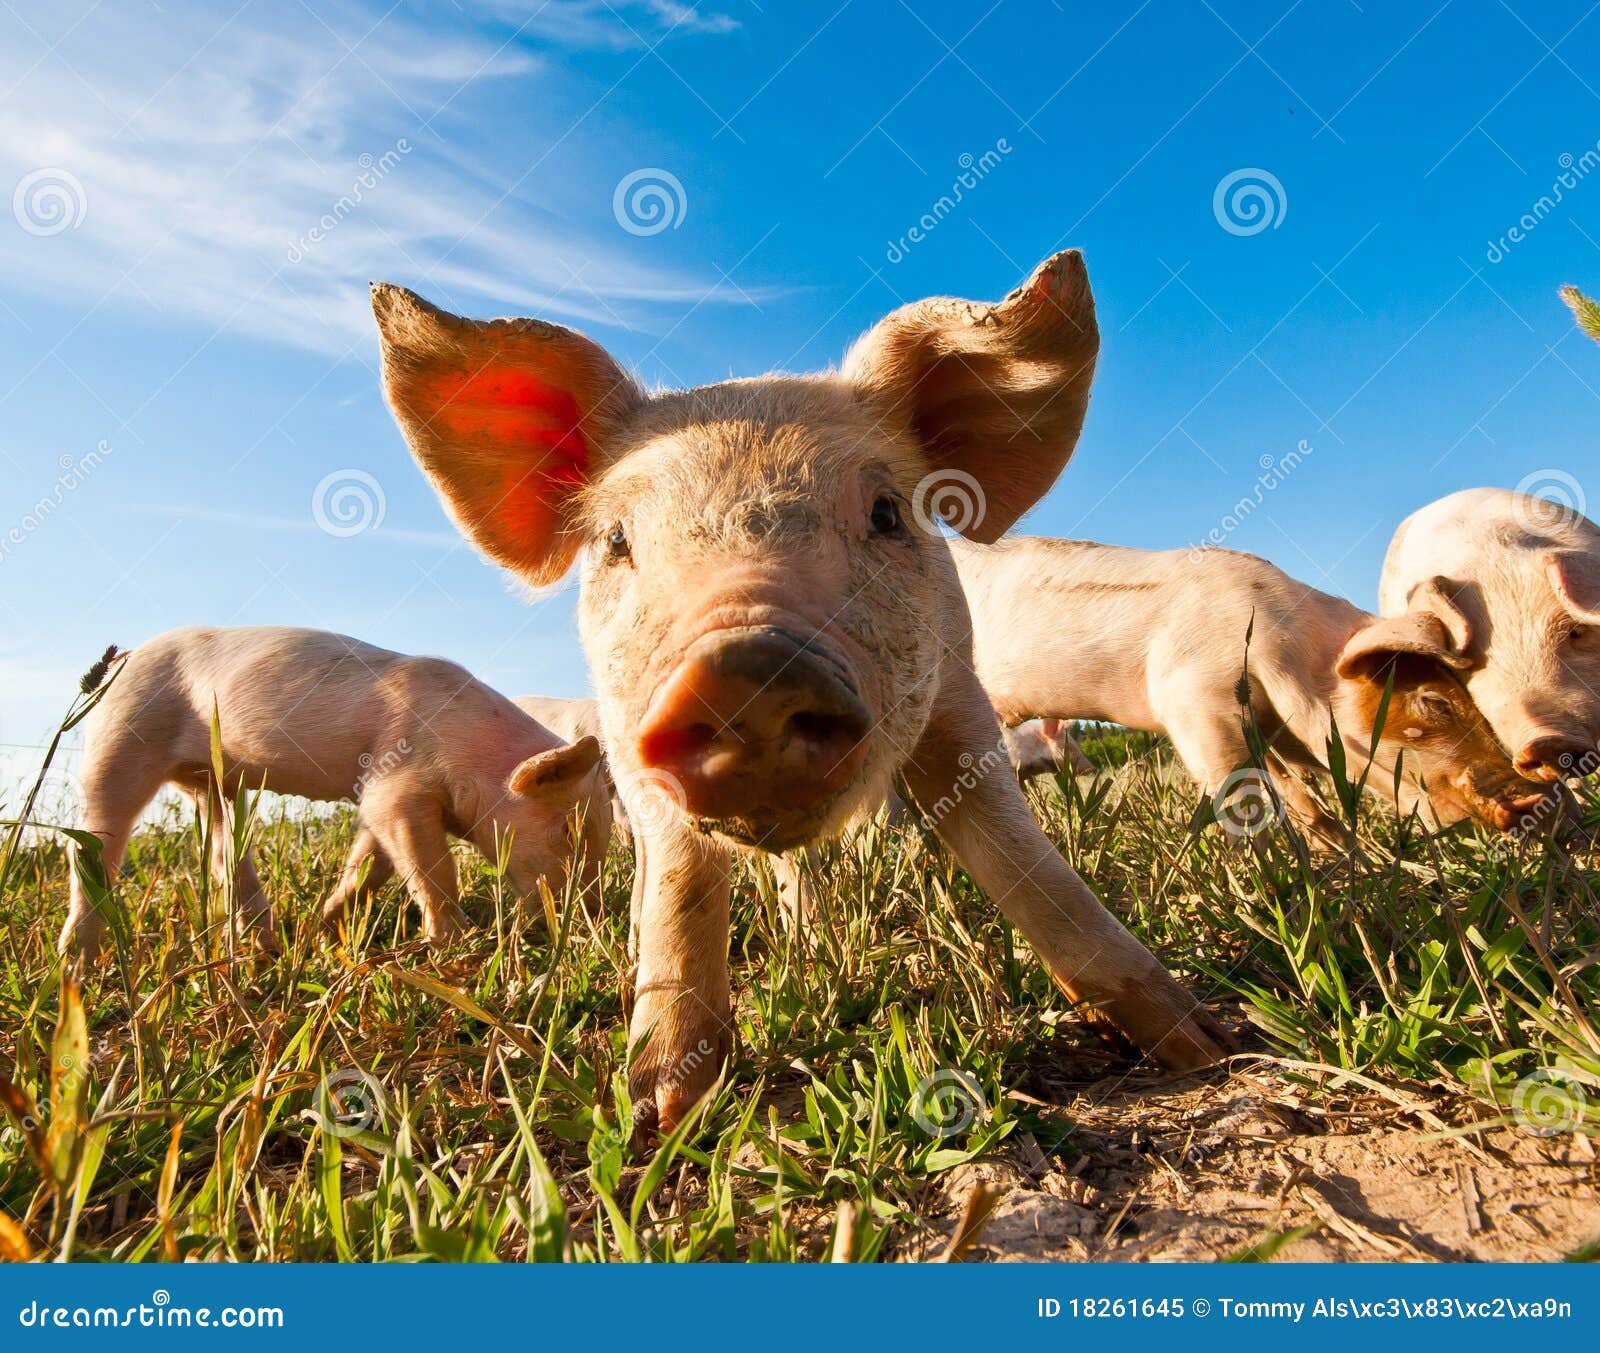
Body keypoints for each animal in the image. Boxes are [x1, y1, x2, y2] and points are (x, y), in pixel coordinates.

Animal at [60, 627, 610, 957]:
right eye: (567, 830)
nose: (593, 918)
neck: (477, 756)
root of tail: (126, 655)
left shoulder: (380, 804)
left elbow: (370, 864)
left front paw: (324, 931)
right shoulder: (396, 785)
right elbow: (430, 869)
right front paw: (452, 945)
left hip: (213, 781)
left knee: (223, 849)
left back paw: (269, 944)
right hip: (122, 733)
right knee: (96, 841)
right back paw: (77, 961)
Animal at [371, 249, 1233, 1132]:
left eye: (886, 512)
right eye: (616, 539)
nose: (743, 668)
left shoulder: (957, 695)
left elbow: (1021, 856)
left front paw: (1202, 1045)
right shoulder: (625, 736)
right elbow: (681, 880)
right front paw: (660, 1108)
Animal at [952, 537, 1551, 848]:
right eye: (1433, 702)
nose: (1533, 801)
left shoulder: (1265, 727)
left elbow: (1303, 800)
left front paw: (1346, 853)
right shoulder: (1191, 701)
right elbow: (1242, 796)